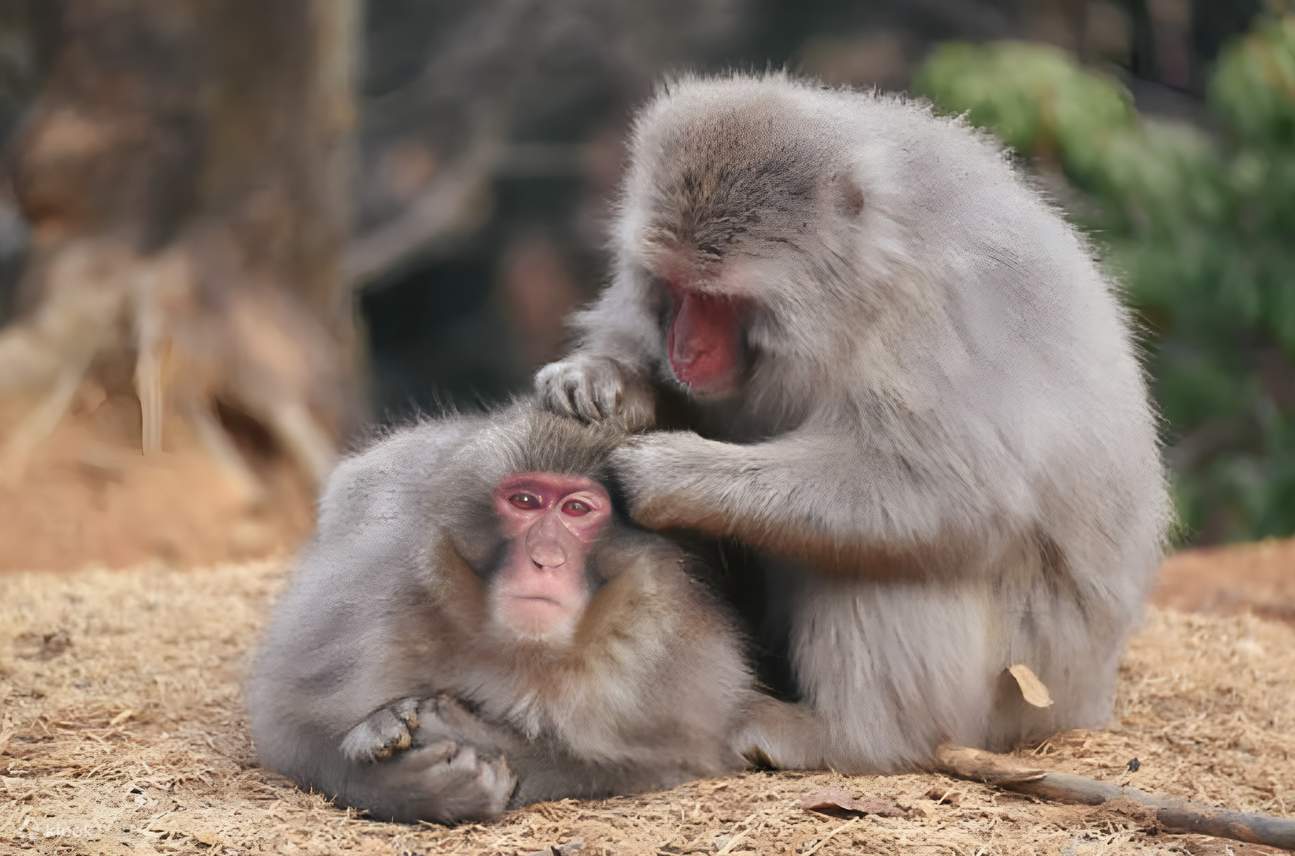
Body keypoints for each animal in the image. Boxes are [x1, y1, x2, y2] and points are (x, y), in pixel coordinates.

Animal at [245, 402, 760, 824]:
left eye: (577, 509)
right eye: (525, 501)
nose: (546, 558)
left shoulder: (658, 655)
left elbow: (676, 759)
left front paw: (468, 735)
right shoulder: (382, 605)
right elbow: (285, 723)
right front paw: (412, 786)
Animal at [535, 71, 1172, 773]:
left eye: (717, 300)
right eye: (673, 288)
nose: (684, 350)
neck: (860, 286)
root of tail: (1090, 701)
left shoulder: (934, 316)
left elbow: (954, 493)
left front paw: (667, 475)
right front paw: (606, 376)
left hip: (1023, 685)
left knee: (882, 556)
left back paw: (851, 738)